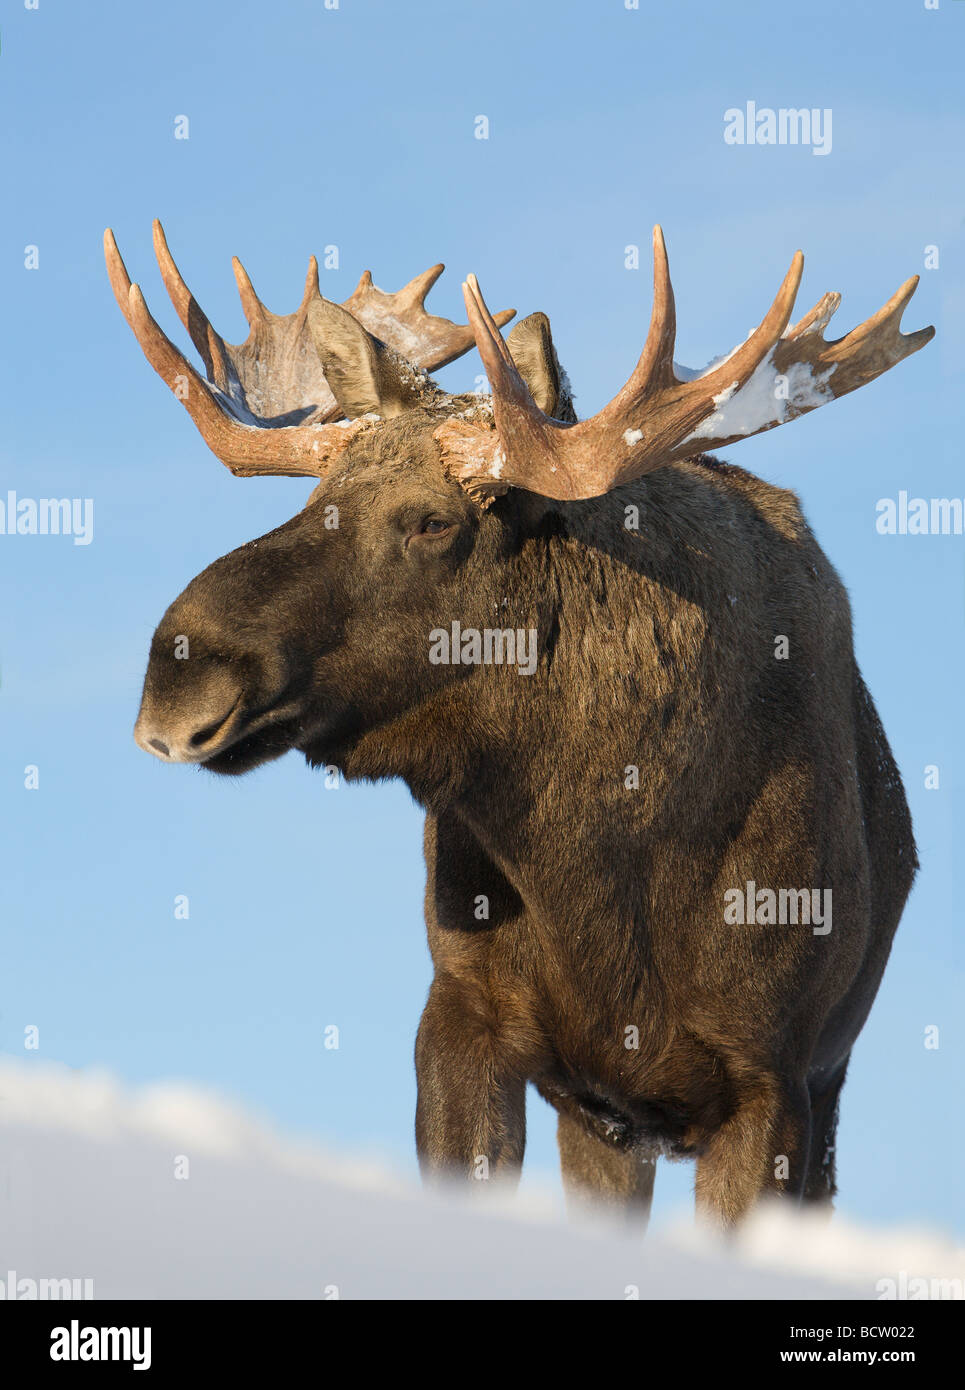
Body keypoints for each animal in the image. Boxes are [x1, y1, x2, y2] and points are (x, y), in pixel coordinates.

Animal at [105, 220, 931, 1228]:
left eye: (431, 523)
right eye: (312, 500)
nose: (179, 670)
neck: (605, 865)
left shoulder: (770, 1073)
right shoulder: (468, 1019)